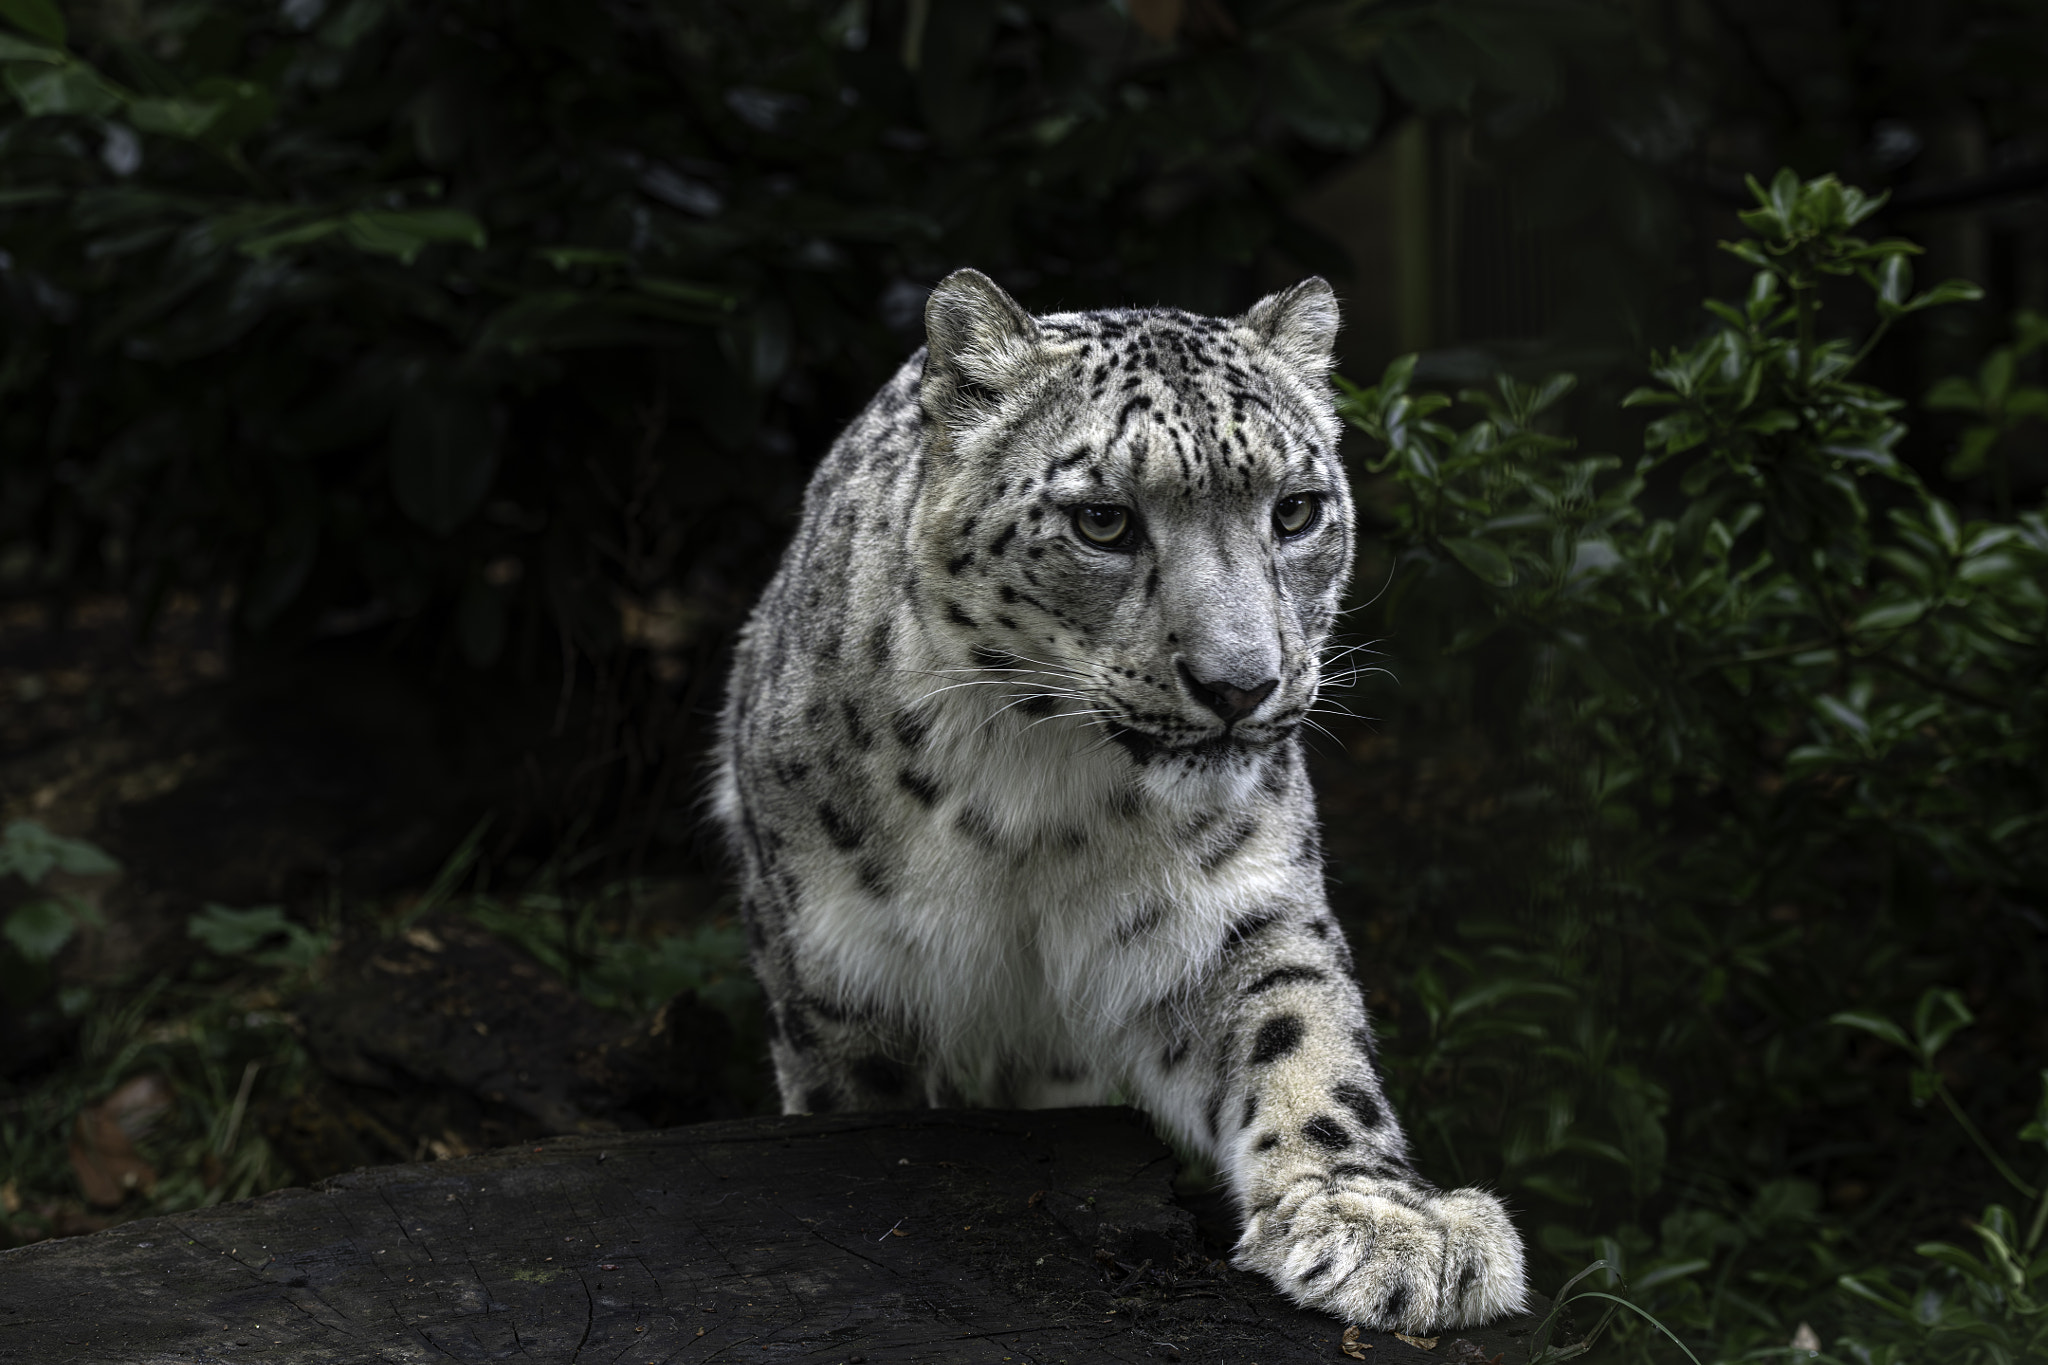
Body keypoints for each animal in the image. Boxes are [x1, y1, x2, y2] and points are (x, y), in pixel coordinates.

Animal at [712, 268, 1527, 1332]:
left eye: (1297, 510)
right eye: (1103, 520)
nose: (1240, 684)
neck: (1033, 798)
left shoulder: (1237, 914)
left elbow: (1302, 1033)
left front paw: (1389, 1224)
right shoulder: (841, 976)